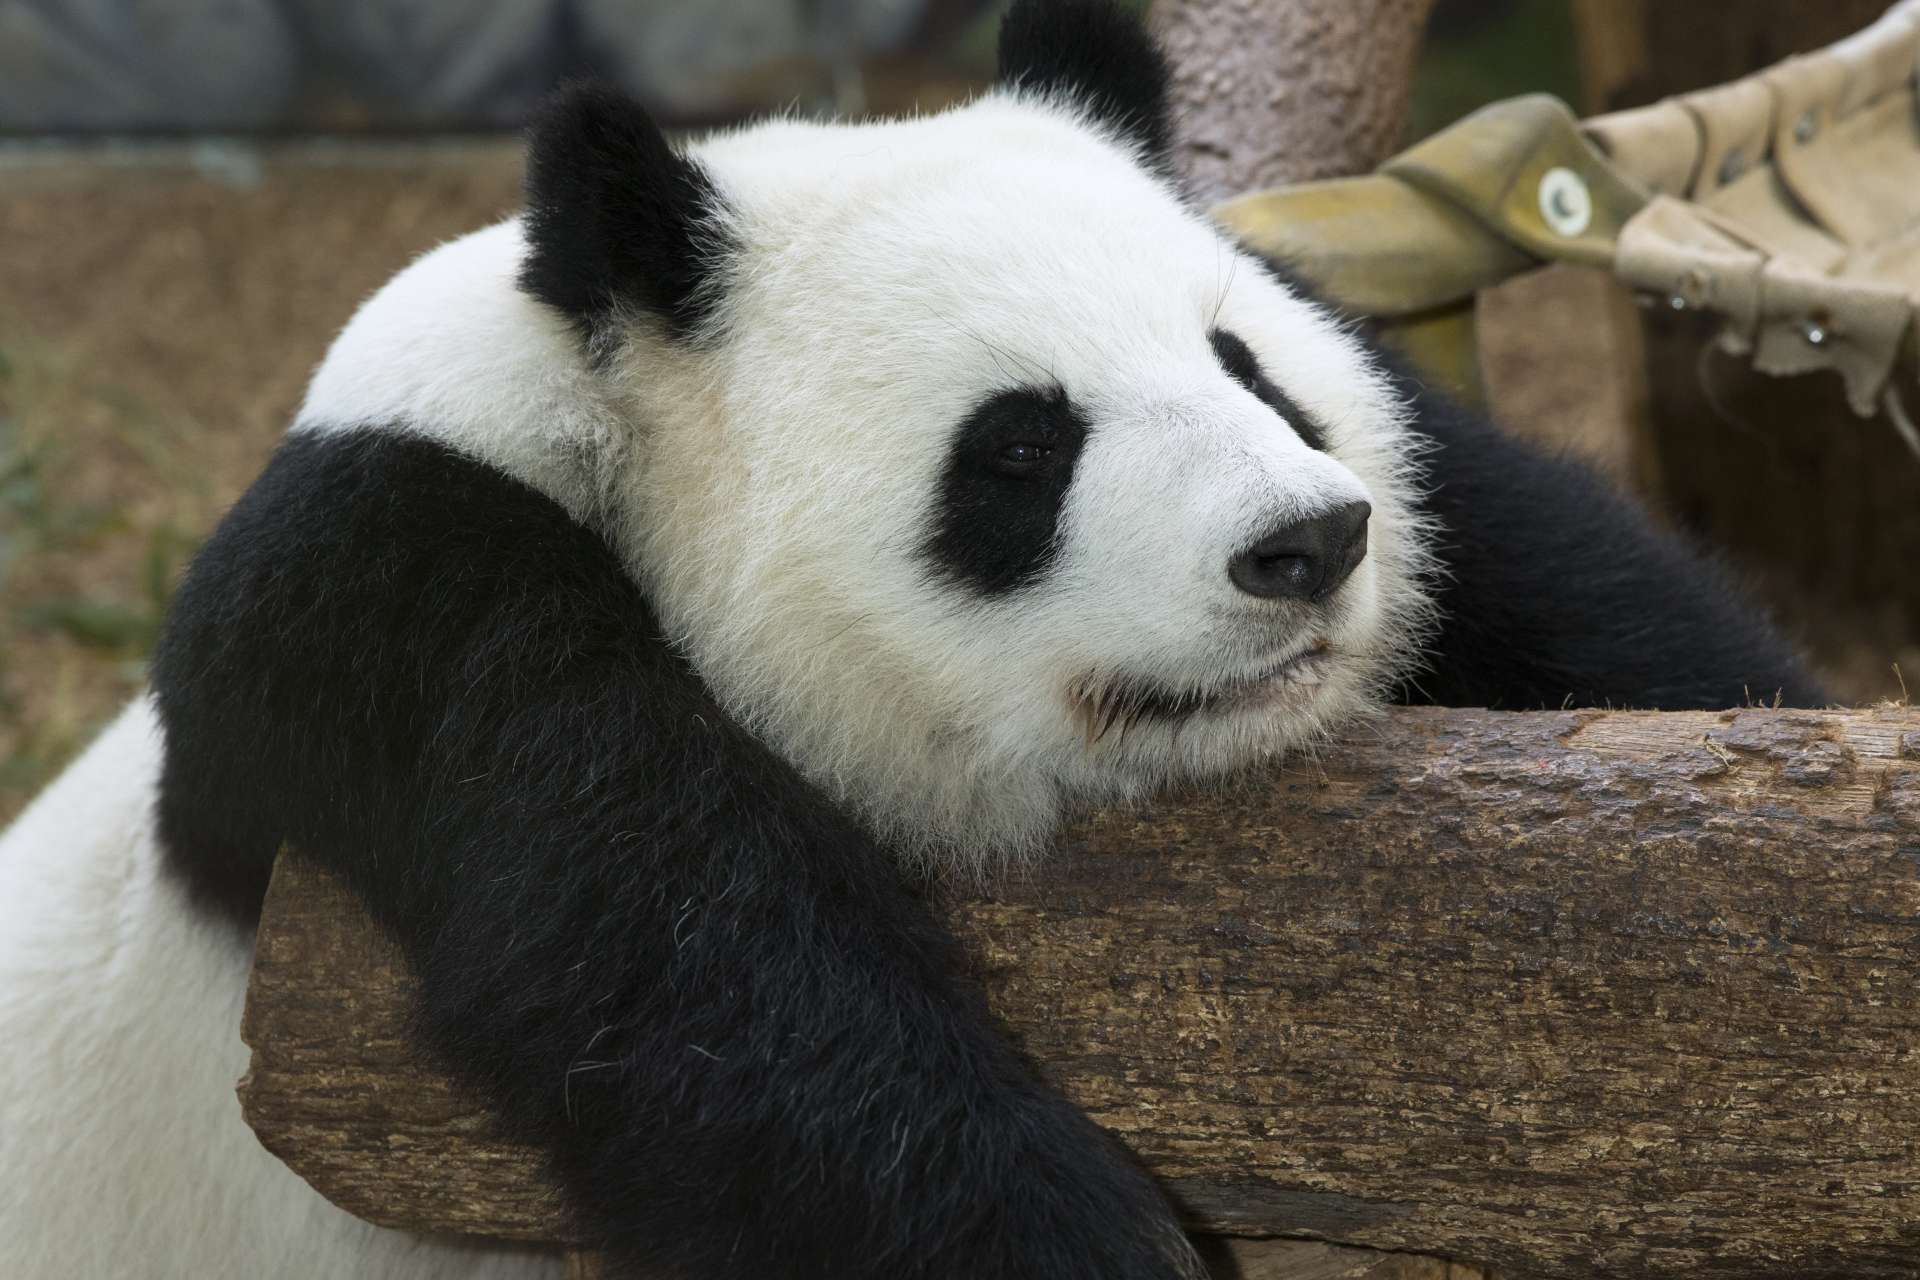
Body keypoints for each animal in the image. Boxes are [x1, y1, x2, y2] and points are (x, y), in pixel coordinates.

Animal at [0, 3, 1820, 1278]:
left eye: (1245, 365)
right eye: (1018, 448)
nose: (1305, 548)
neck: (591, 403)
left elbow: (1595, 596)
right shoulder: (389, 585)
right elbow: (663, 940)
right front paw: (1079, 1242)